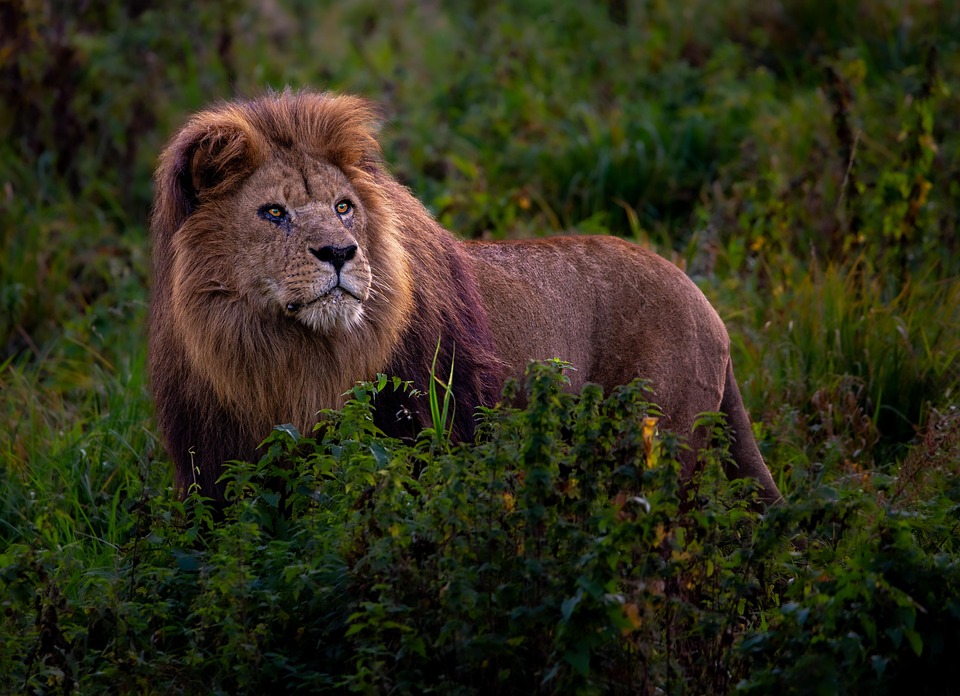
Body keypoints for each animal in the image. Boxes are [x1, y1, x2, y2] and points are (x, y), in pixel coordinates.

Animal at [149, 89, 781, 507]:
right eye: (273, 213)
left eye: (343, 207)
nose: (340, 252)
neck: (285, 362)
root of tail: (705, 303)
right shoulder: (214, 467)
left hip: (652, 441)